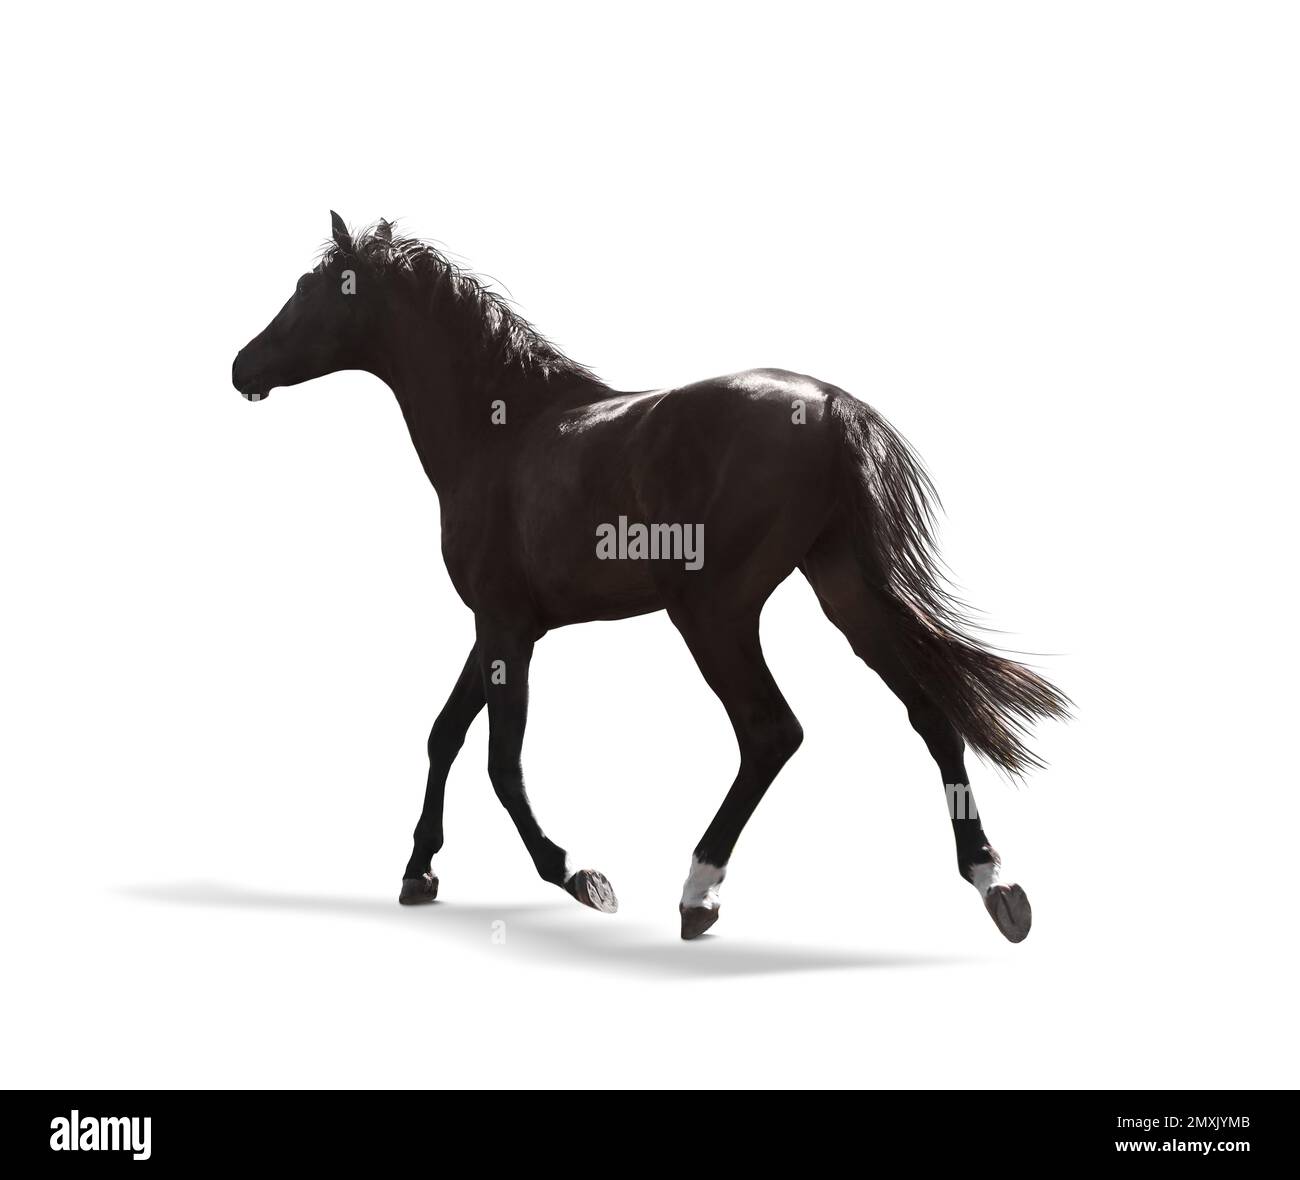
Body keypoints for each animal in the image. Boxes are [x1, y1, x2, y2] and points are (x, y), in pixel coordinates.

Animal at [231, 212, 1069, 943]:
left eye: (312, 286)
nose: (242, 365)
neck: (501, 432)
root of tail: (833, 409)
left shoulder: (505, 627)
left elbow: (501, 761)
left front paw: (577, 874)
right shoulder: (502, 626)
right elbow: (445, 735)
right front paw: (418, 873)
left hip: (714, 612)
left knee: (772, 732)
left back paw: (699, 894)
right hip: (845, 593)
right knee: (930, 714)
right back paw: (996, 884)